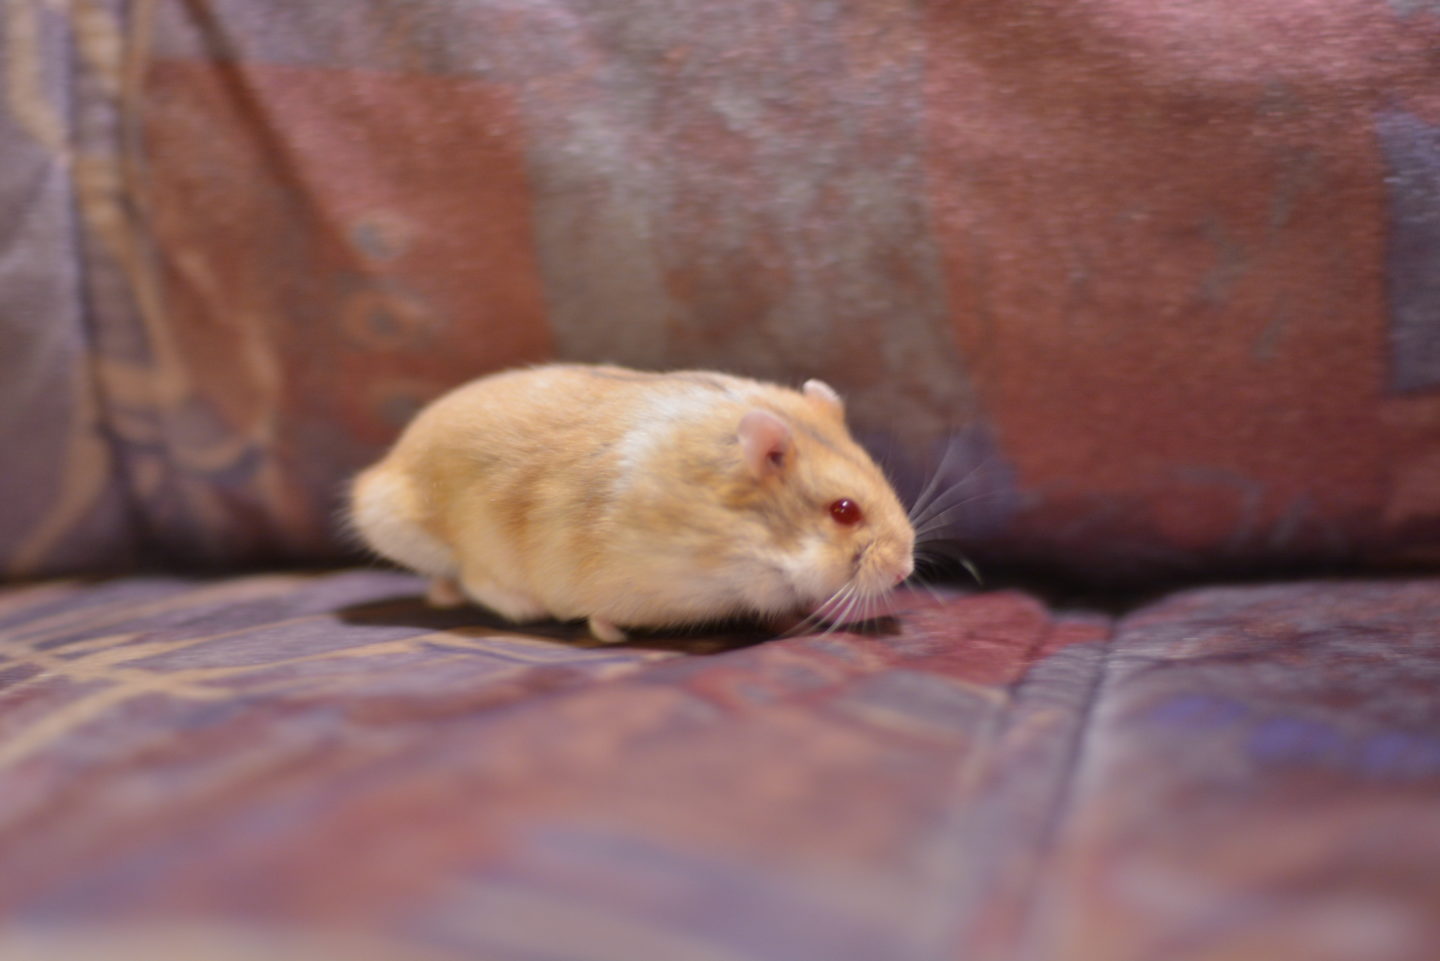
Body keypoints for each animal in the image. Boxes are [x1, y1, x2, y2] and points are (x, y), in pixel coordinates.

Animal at [349, 364, 915, 641]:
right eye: (845, 511)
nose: (906, 569)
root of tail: (385, 469)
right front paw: (612, 636)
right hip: (452, 535)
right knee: (474, 578)